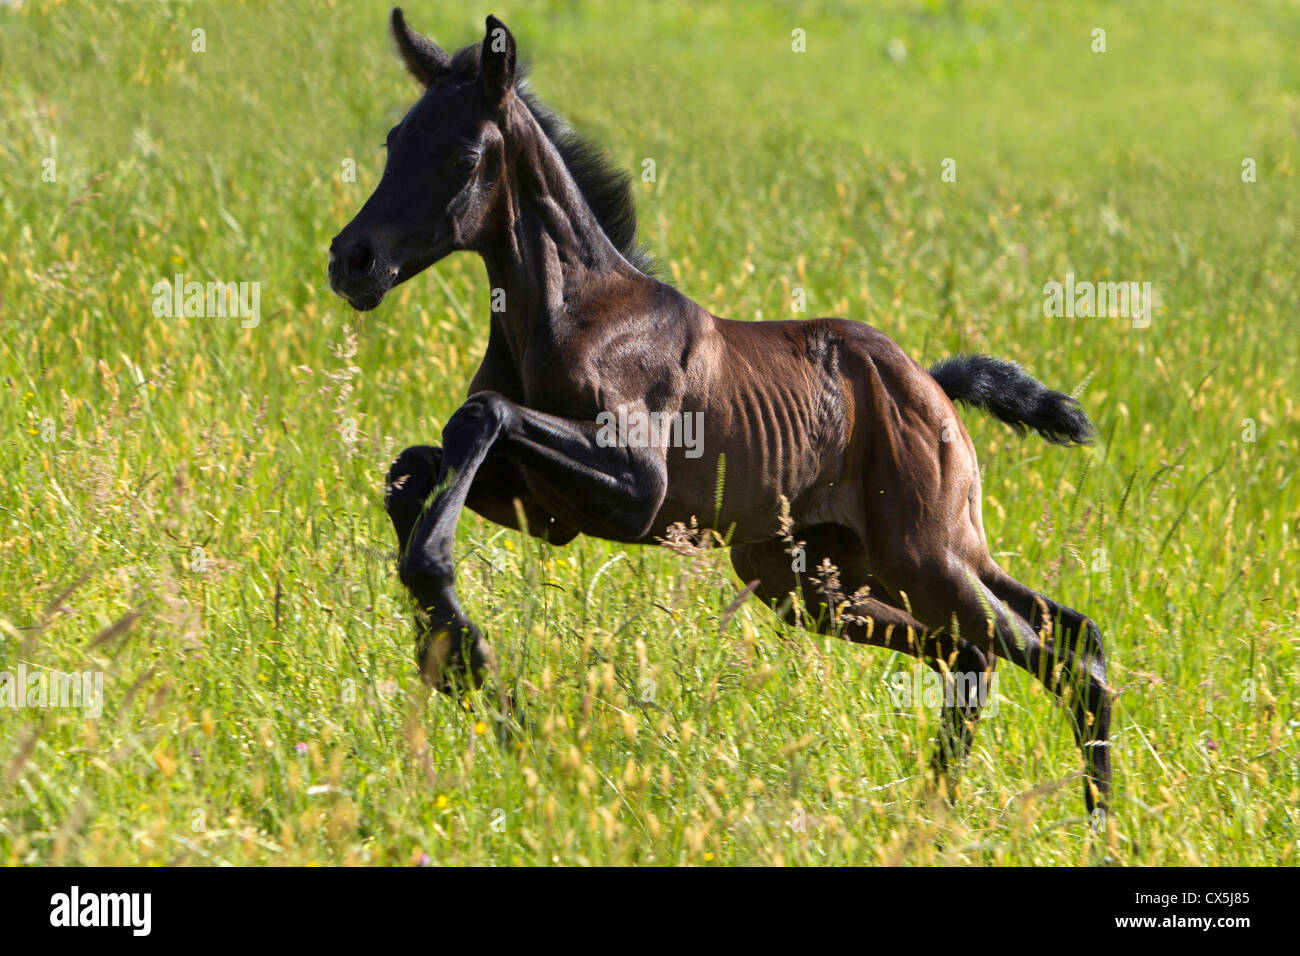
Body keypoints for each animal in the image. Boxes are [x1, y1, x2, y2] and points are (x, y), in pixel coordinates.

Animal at [328, 9, 1113, 815]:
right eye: (394, 141)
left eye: (462, 156)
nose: (352, 260)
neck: (577, 313)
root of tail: (928, 385)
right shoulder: (549, 513)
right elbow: (414, 464)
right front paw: (463, 658)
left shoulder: (635, 490)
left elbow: (481, 415)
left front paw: (449, 605)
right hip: (818, 578)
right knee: (1007, 645)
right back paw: (939, 813)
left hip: (922, 555)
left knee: (1054, 658)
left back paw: (1089, 823)